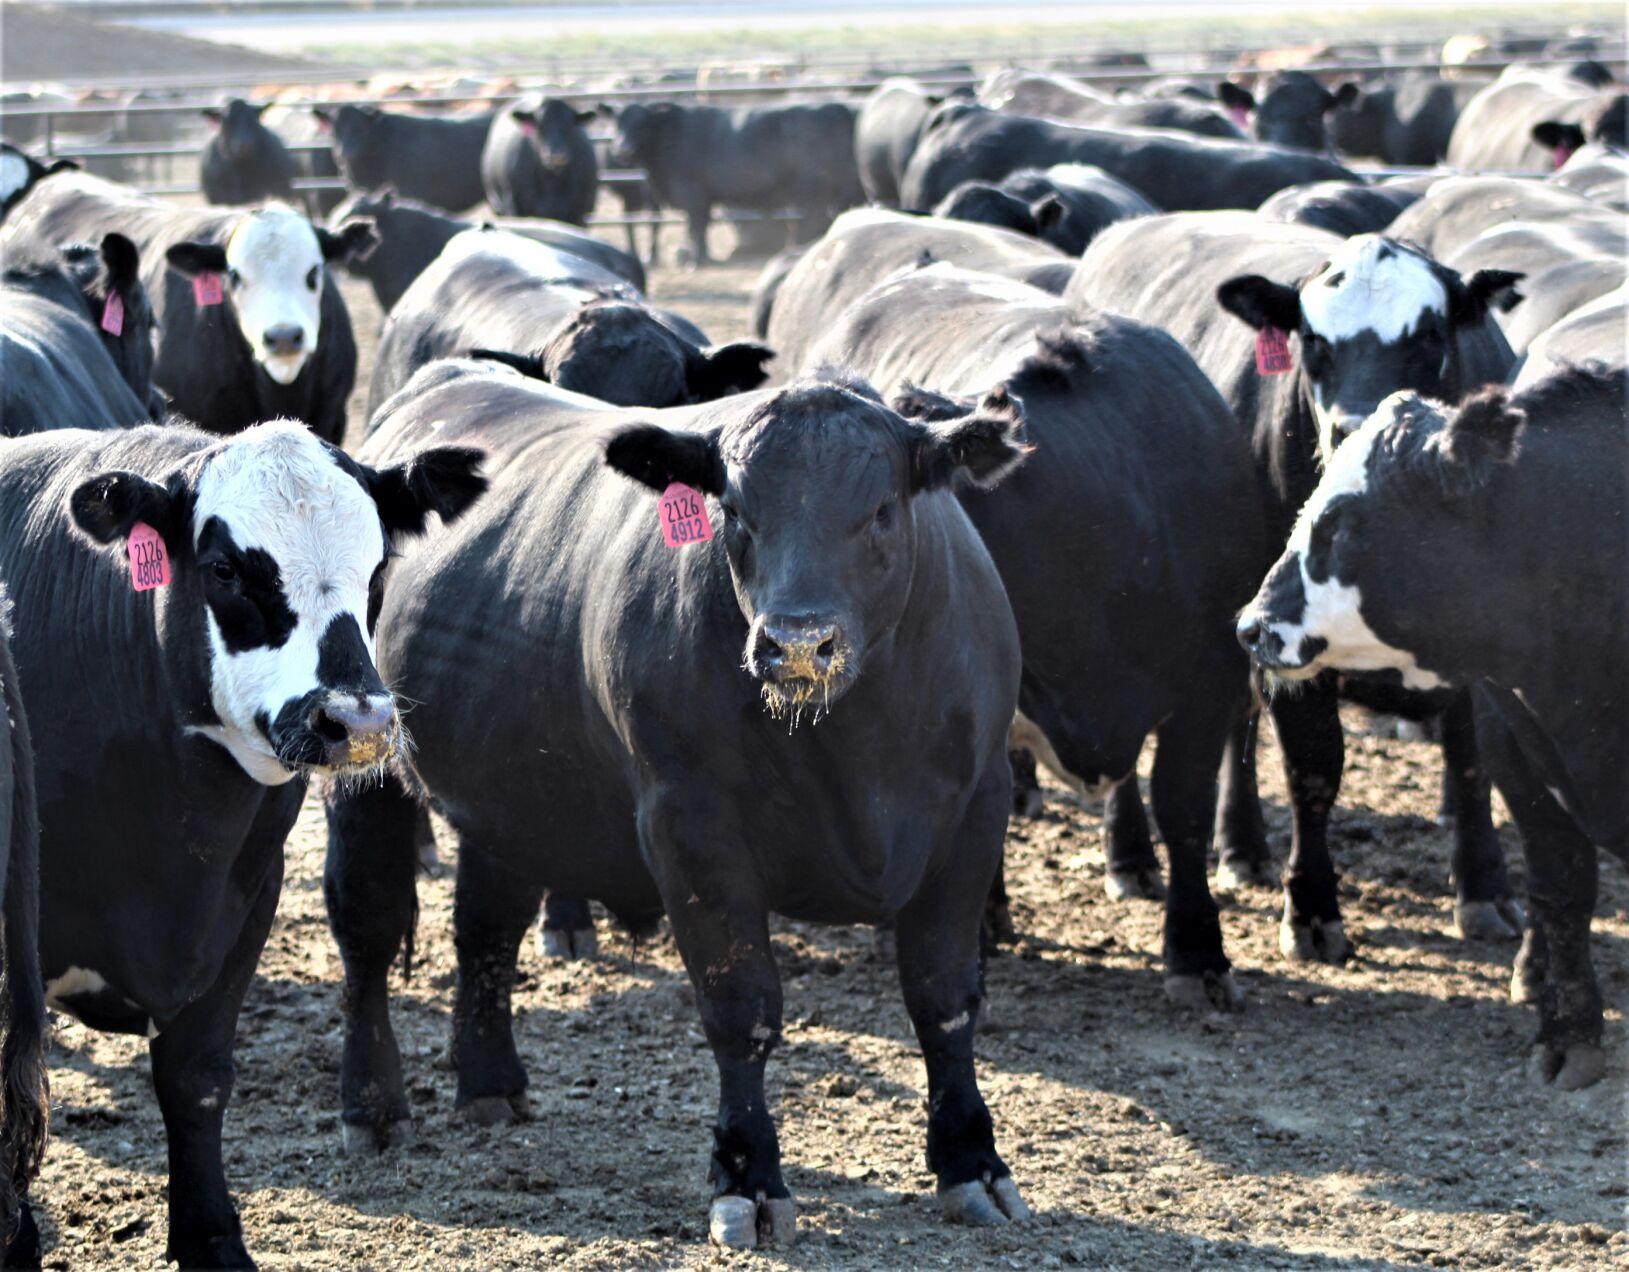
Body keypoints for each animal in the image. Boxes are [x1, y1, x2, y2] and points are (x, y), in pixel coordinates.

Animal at [0, 418, 486, 1266]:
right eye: (225, 568)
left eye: (378, 564)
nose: (357, 721)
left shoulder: (245, 905)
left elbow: (196, 1077)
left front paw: (212, 1235)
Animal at [325, 358, 1032, 1245]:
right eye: (734, 511)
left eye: (881, 510)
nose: (798, 643)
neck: (858, 743)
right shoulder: (690, 824)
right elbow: (741, 1005)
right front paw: (748, 1176)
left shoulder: (975, 812)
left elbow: (944, 998)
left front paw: (973, 1162)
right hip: (364, 767)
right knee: (367, 925)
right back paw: (372, 1106)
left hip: (512, 790)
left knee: (487, 924)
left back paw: (490, 1083)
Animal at [605, 101, 865, 265]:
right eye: (617, 122)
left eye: (641, 123)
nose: (621, 149)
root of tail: (838, 108)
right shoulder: (703, 198)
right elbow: (702, 227)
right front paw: (704, 256)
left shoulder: (692, 194)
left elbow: (695, 227)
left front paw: (696, 260)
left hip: (813, 193)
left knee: (813, 222)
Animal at [1068, 216, 1527, 956]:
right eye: (1313, 341)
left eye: (1429, 335)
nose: (1355, 424)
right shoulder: (1284, 633)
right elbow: (1314, 768)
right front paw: (1312, 909)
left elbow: (1469, 762)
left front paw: (1485, 891)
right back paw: (1131, 858)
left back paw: (1242, 847)